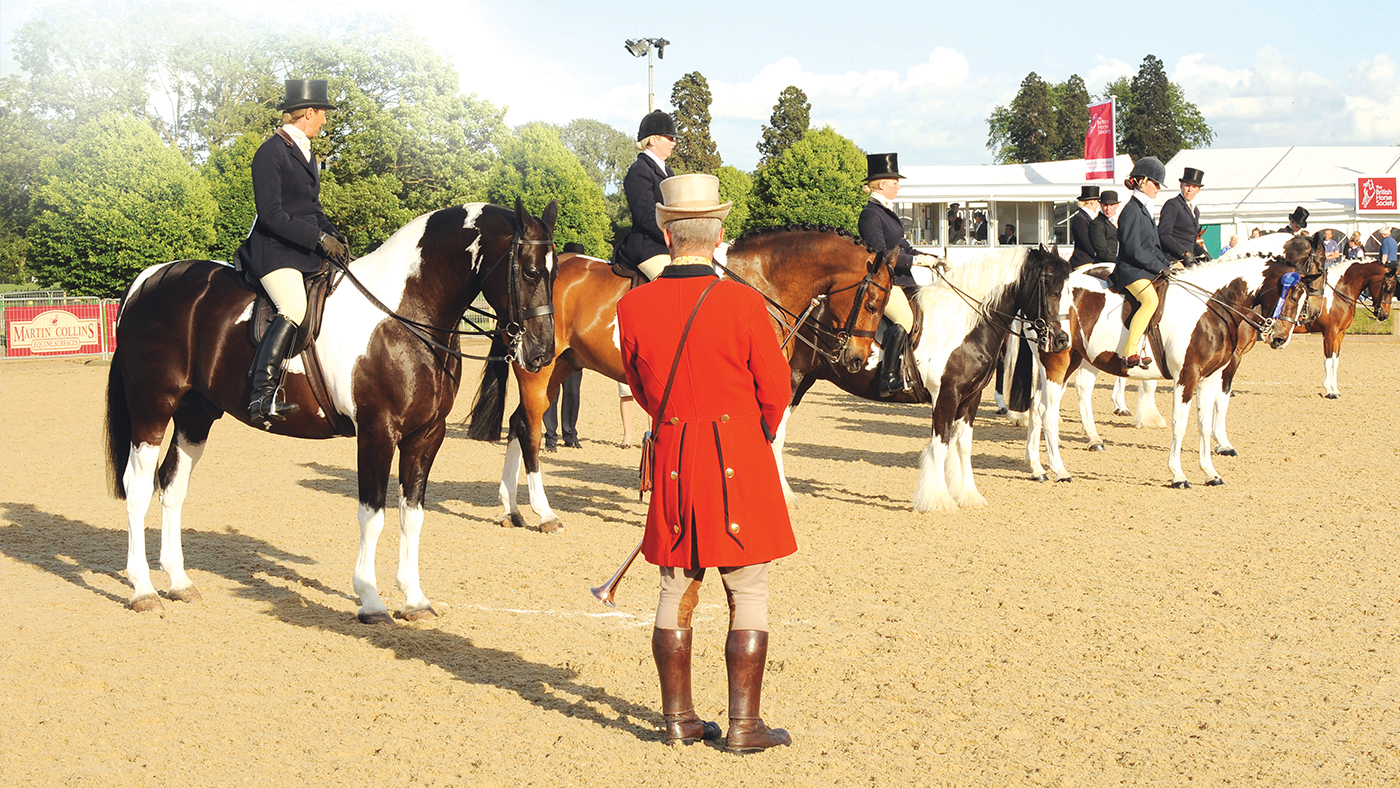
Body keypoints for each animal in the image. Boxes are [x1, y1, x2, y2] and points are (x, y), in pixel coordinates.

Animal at [105, 199, 559, 623]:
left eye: (554, 275)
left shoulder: (427, 435)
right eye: (529, 271)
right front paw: (371, 600)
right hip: (152, 407)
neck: (405, 313)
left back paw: (180, 582)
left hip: (195, 415)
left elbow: (412, 515)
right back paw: (143, 589)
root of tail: (148, 280)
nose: (541, 353)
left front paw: (414, 599)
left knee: (172, 484)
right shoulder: (377, 431)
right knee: (138, 486)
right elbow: (372, 515)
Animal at [465, 226, 894, 532]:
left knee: (519, 424)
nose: (859, 358)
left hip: (560, 367)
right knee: (531, 429)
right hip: (538, 370)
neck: (759, 285)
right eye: (874, 303)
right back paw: (544, 513)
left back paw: (512, 509)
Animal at [778, 245, 1072, 512]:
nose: (1062, 341)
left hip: (804, 381)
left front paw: (968, 496)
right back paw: (785, 497)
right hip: (792, 381)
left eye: (1070, 291)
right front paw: (938, 501)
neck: (965, 322)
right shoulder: (946, 395)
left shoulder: (971, 397)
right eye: (1052, 289)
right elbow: (940, 446)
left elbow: (963, 445)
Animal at [1018, 255, 1316, 488]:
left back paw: (1037, 468)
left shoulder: (1209, 379)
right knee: (1048, 411)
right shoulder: (1188, 376)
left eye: (1303, 299)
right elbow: (1180, 424)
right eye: (1290, 294)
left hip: (1068, 363)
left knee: (1038, 406)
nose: (1280, 338)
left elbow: (1204, 424)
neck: (1210, 307)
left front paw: (1210, 472)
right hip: (1057, 364)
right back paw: (1060, 470)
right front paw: (1178, 475)